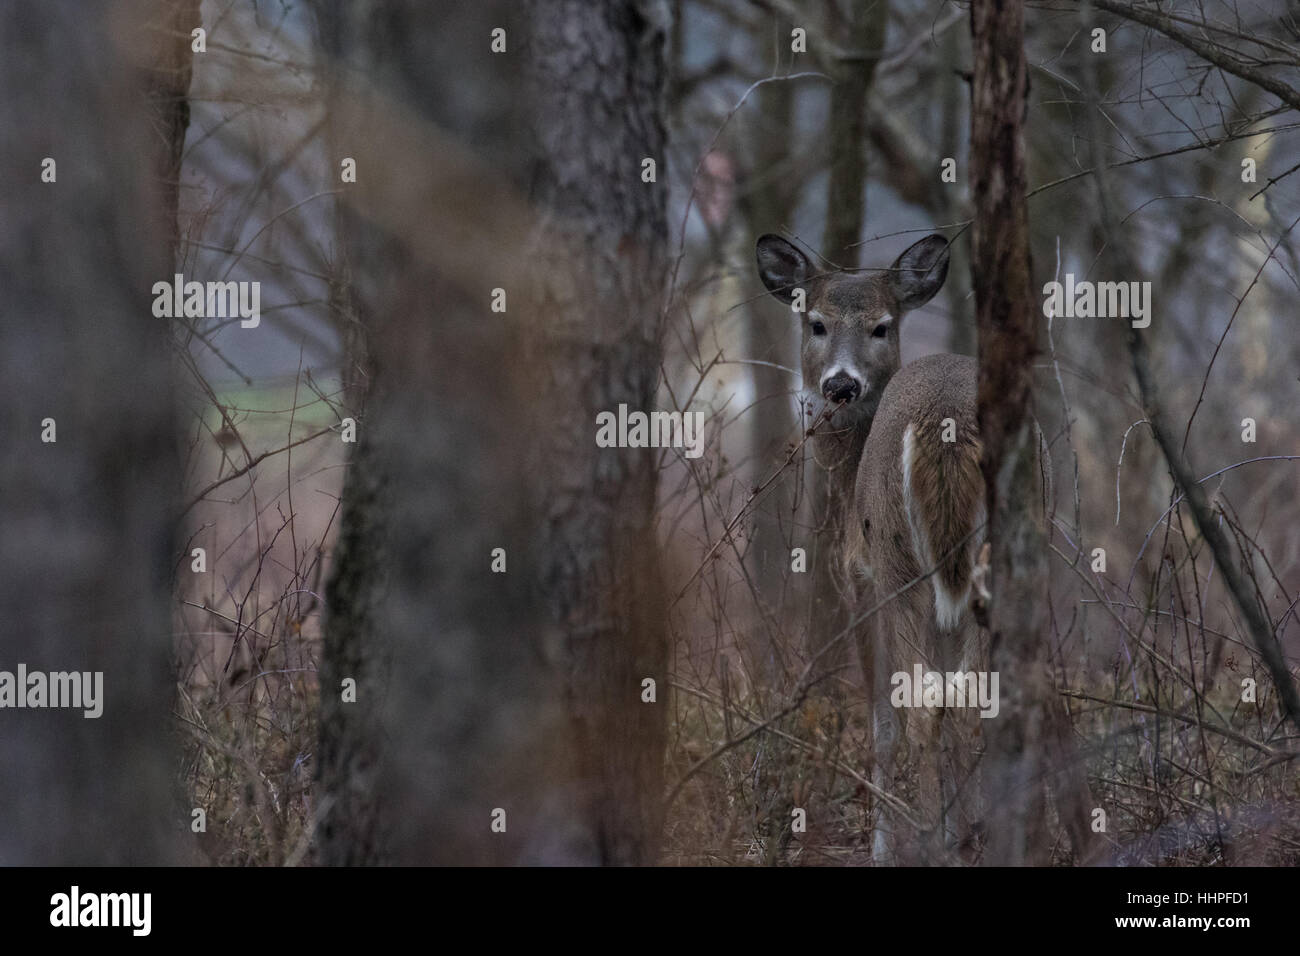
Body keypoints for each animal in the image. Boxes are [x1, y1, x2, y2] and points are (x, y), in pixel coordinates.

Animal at [755, 231, 1050, 864]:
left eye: (882, 326)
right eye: (816, 323)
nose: (840, 385)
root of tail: (949, 424)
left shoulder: (860, 580)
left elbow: (883, 721)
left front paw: (882, 844)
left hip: (899, 561)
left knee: (923, 704)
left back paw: (939, 840)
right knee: (978, 698)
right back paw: (987, 834)